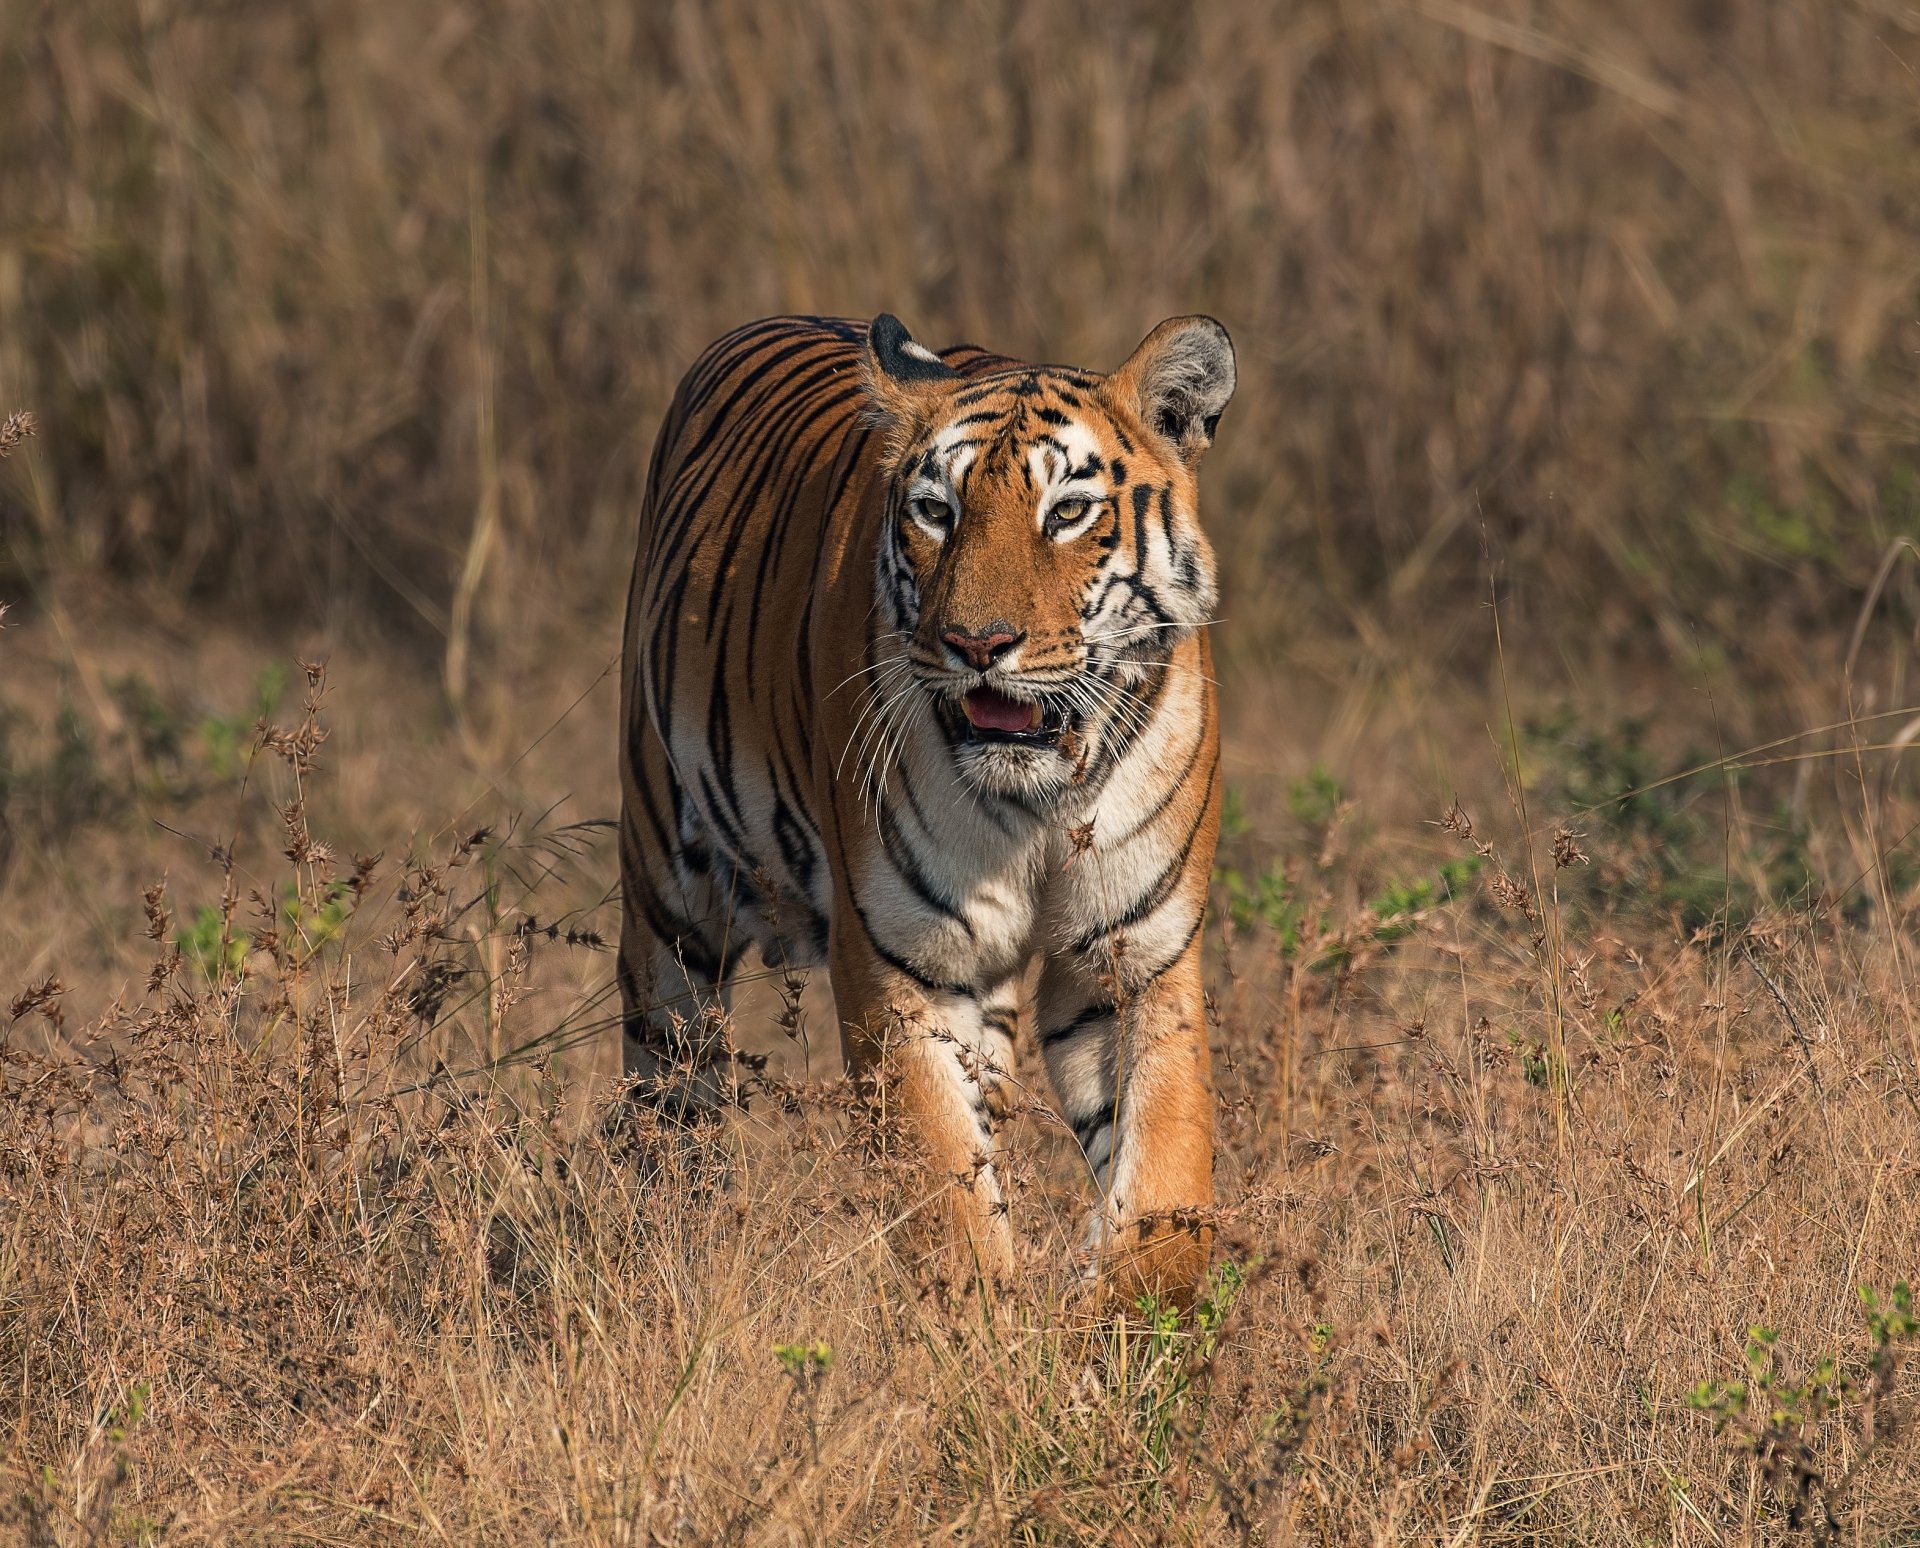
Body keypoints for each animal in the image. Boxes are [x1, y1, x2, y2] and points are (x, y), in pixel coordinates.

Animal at [618, 311, 1234, 1301]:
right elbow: (949, 1206)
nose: (979, 644)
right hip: (670, 899)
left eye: (1068, 512)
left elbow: (1168, 1189)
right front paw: (993, 1327)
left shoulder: (1139, 957)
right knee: (667, 1103)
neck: (1042, 798)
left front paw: (1122, 1316)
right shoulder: (900, 964)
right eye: (936, 511)